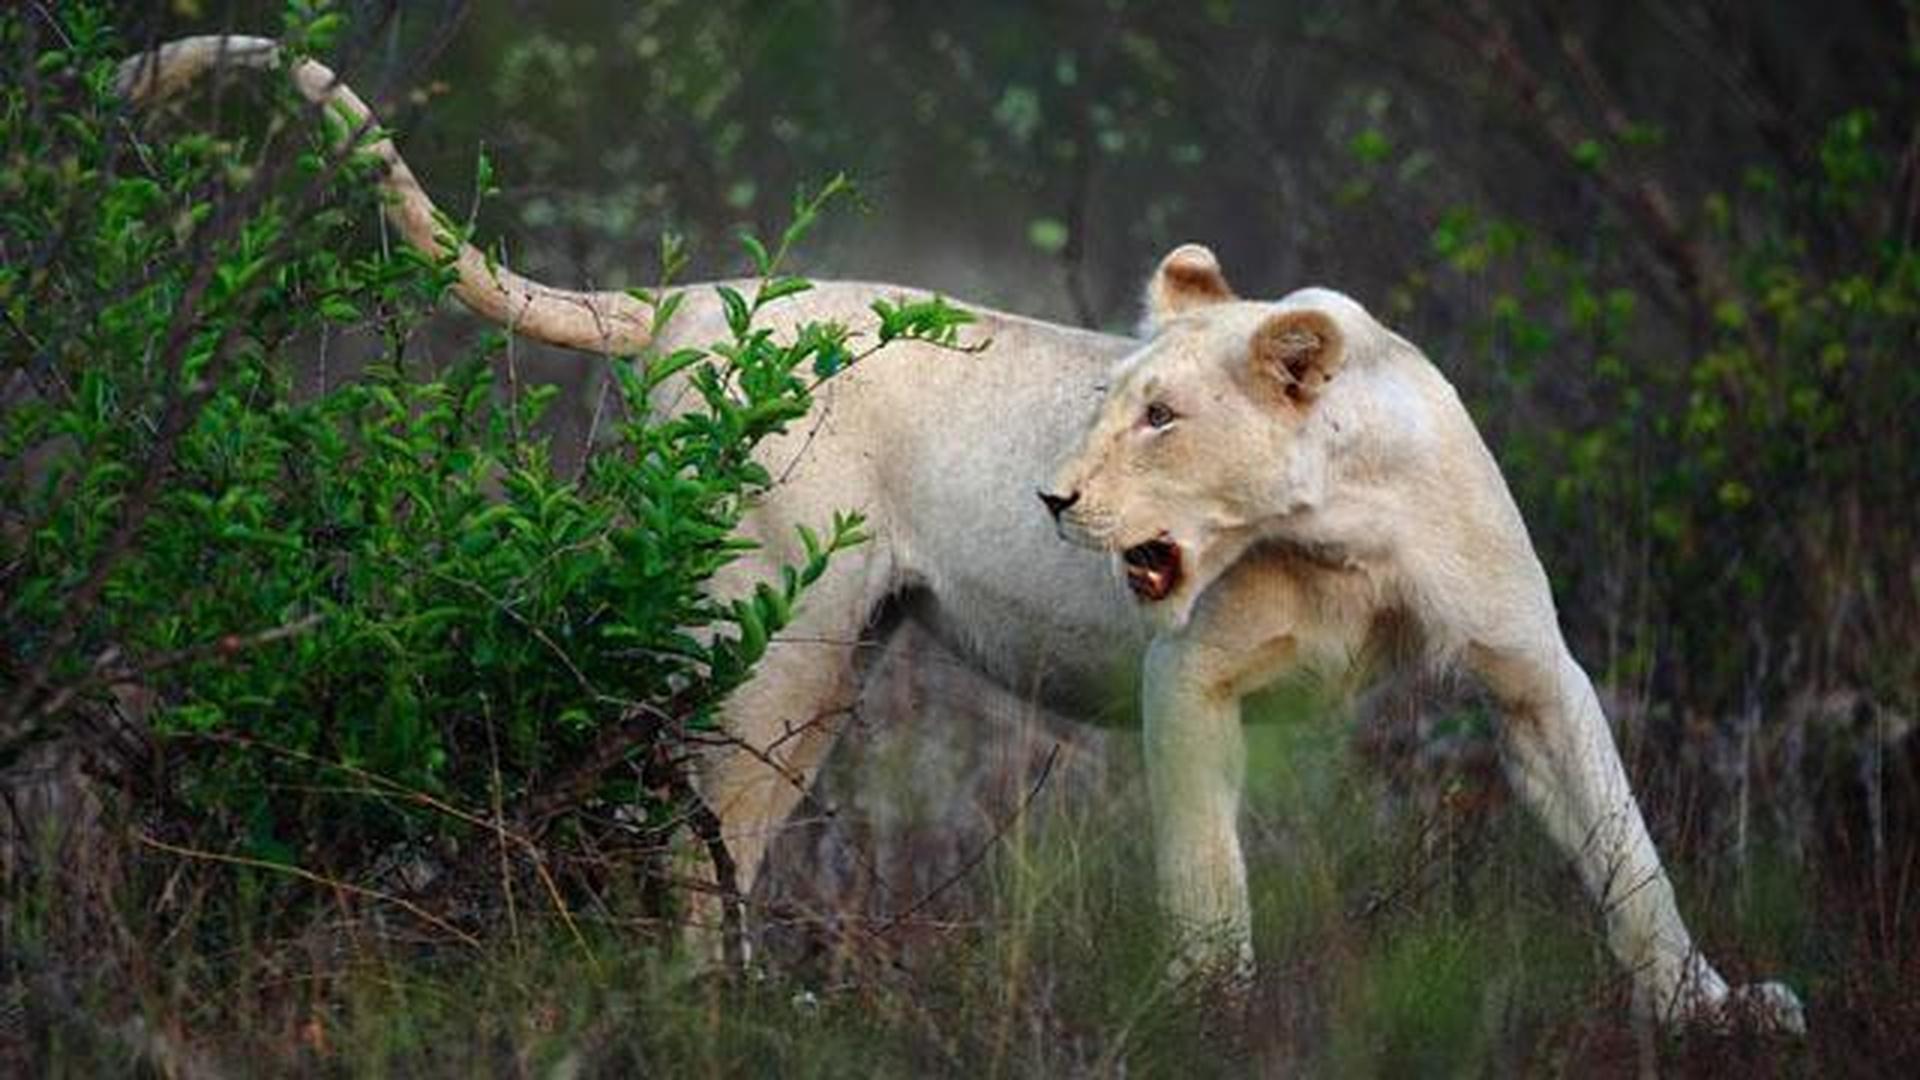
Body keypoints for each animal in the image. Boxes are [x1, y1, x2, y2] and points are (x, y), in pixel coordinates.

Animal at [121, 37, 1802, 1031]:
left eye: (1159, 416)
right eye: (1109, 401)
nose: (1055, 500)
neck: (1339, 526)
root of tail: (681, 304)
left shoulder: (1530, 669)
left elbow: (1623, 844)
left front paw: (1710, 1008)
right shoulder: (1188, 679)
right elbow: (1208, 868)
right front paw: (1212, 1011)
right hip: (774, 644)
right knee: (684, 832)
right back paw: (725, 1012)